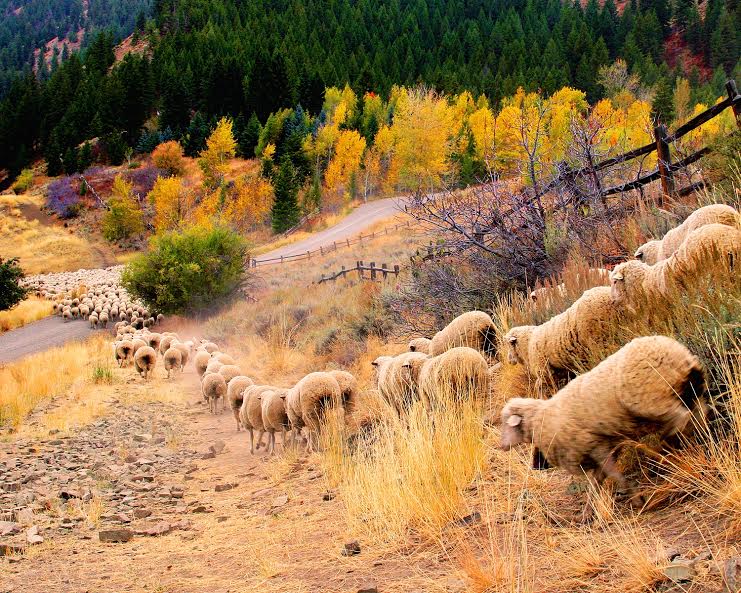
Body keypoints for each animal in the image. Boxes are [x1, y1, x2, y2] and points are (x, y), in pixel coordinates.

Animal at [499, 335, 705, 521]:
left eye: (506, 423)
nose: (501, 446)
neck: (542, 417)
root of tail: (676, 354)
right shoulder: (604, 447)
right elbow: (597, 482)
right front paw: (587, 513)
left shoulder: (594, 446)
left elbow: (613, 475)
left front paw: (637, 499)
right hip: (687, 392)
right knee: (701, 413)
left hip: (656, 401)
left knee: (683, 420)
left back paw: (679, 448)